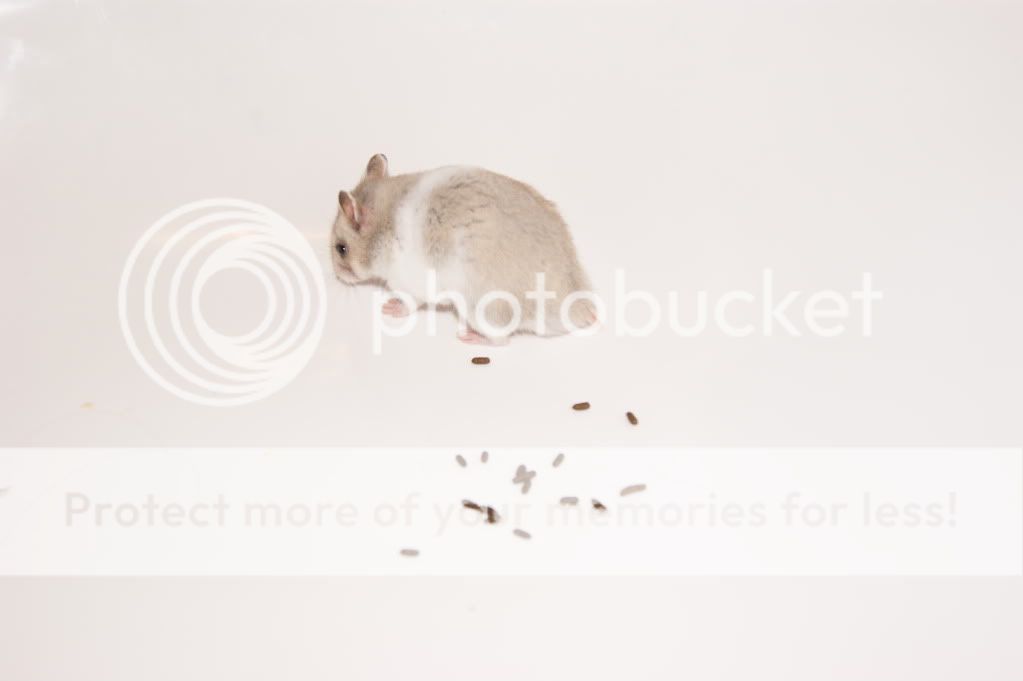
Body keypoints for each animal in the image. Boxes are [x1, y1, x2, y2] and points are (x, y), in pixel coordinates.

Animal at [330, 154, 596, 344]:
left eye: (341, 249)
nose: (337, 276)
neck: (383, 228)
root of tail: (581, 308)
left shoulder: (409, 285)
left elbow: (408, 303)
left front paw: (389, 307)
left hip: (480, 311)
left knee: (500, 340)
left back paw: (468, 337)